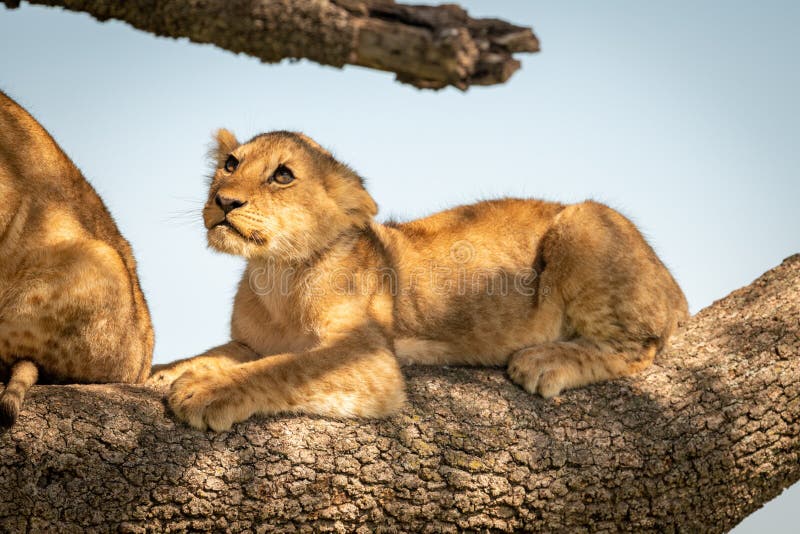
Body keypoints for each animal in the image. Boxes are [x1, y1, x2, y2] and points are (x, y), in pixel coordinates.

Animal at [150, 129, 688, 431]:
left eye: (282, 175)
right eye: (230, 164)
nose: (223, 201)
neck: (275, 274)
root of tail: (673, 286)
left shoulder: (370, 358)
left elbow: (282, 367)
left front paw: (205, 392)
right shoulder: (248, 342)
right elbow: (215, 353)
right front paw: (168, 371)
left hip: (584, 219)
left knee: (637, 345)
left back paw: (545, 361)